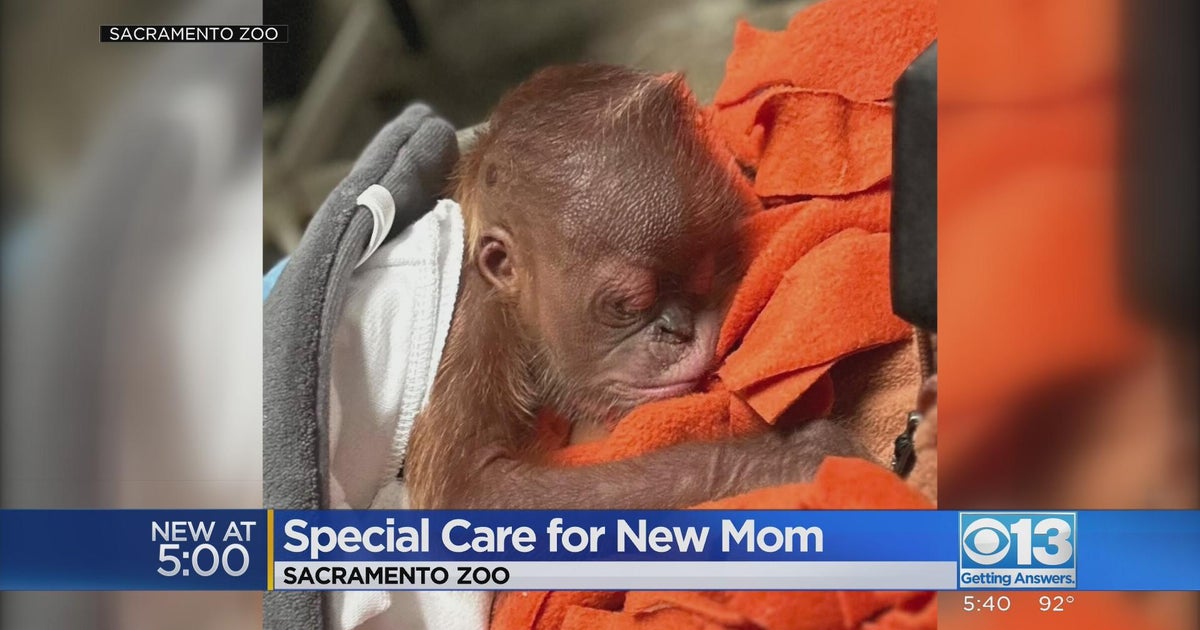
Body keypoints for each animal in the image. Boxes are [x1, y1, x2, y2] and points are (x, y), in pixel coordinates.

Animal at [405, 64, 868, 510]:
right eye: (627, 305)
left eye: (701, 280)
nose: (677, 330)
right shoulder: (470, 322)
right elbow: (472, 491)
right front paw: (782, 458)